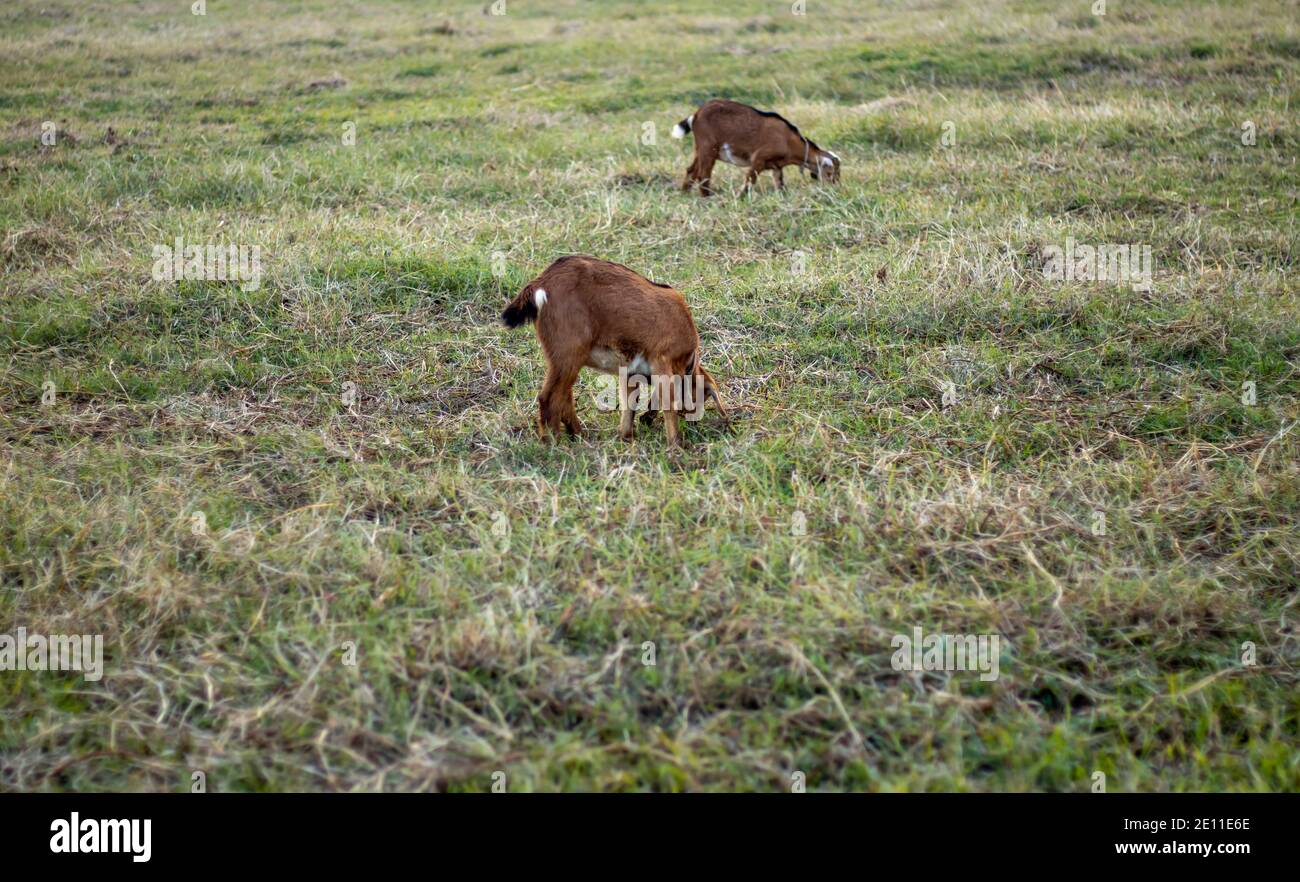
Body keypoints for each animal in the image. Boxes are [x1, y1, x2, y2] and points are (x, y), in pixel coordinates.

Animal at [501, 256, 727, 448]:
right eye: (702, 397)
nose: (693, 421)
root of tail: (541, 282)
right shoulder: (662, 358)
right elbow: (668, 402)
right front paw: (676, 446)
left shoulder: (631, 370)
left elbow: (630, 403)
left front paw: (627, 437)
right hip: (569, 352)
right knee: (549, 397)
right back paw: (554, 444)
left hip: (564, 357)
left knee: (563, 395)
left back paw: (578, 435)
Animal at [672, 99, 840, 196]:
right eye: (830, 173)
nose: (835, 187)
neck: (789, 140)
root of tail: (696, 114)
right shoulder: (759, 159)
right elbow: (750, 180)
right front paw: (740, 196)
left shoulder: (776, 166)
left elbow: (780, 183)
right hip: (708, 148)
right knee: (703, 174)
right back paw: (708, 197)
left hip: (700, 149)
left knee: (691, 170)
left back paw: (685, 193)